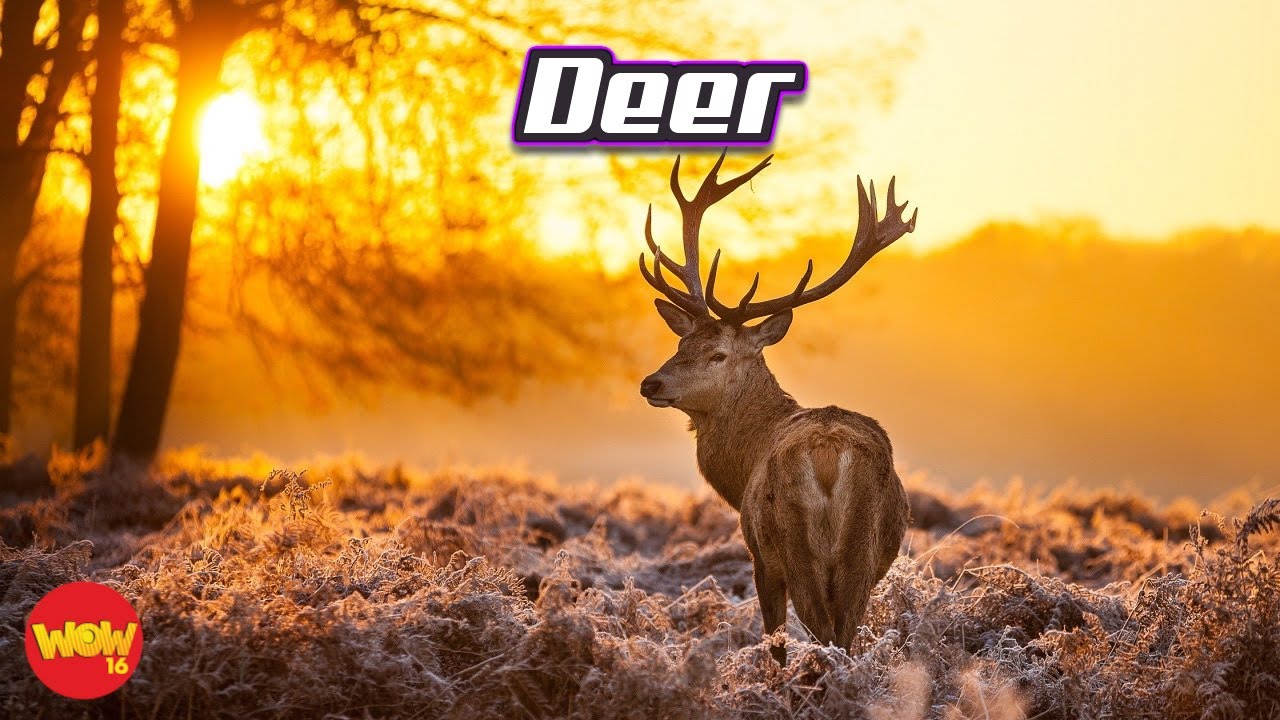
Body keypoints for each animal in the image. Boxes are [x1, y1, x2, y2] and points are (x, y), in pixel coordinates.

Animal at [637, 152, 916, 664]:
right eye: (681, 343)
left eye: (718, 354)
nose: (651, 382)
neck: (742, 465)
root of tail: (829, 455)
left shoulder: (759, 556)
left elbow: (775, 641)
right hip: (861, 554)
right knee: (845, 633)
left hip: (794, 544)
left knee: (822, 632)